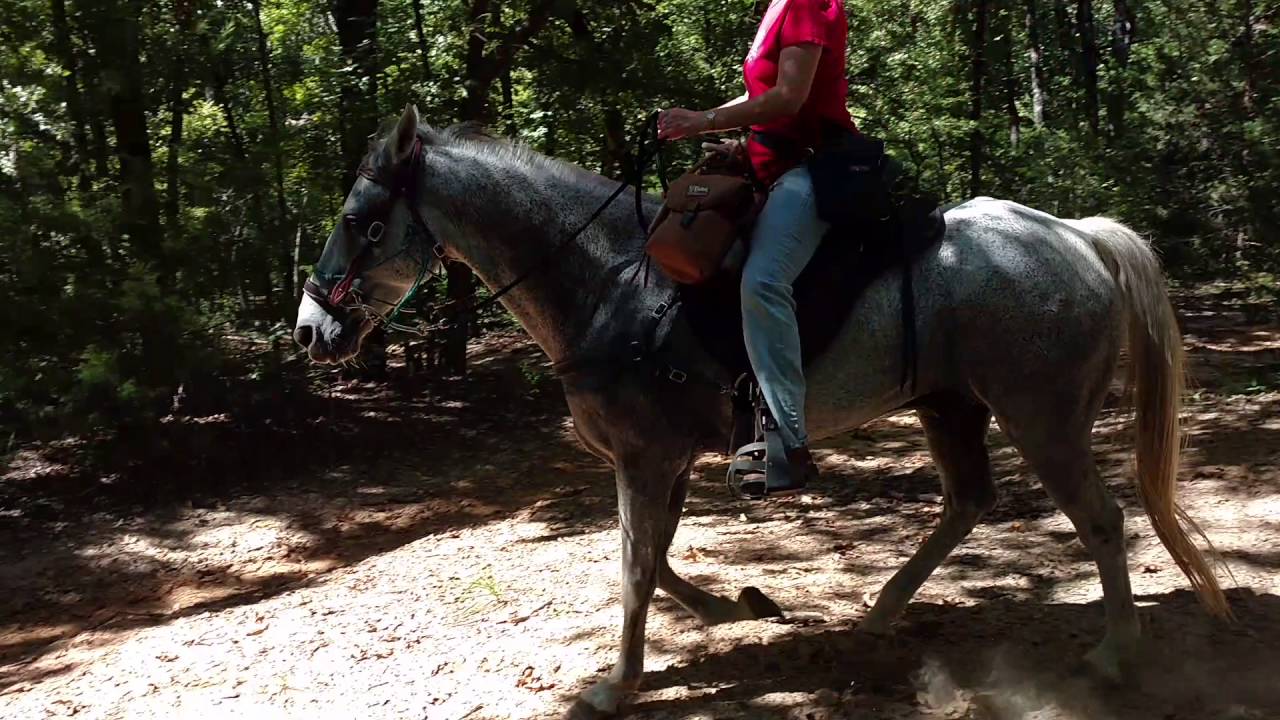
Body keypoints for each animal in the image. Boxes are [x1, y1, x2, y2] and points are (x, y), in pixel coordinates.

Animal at [293, 105, 1229, 718]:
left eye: (359, 221)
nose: (309, 328)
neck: (613, 283)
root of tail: (1079, 236)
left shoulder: (646, 458)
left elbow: (635, 568)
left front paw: (616, 685)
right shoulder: (661, 459)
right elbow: (657, 561)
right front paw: (737, 608)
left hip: (1043, 417)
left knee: (1101, 520)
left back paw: (1111, 655)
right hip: (951, 406)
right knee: (968, 502)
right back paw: (882, 612)